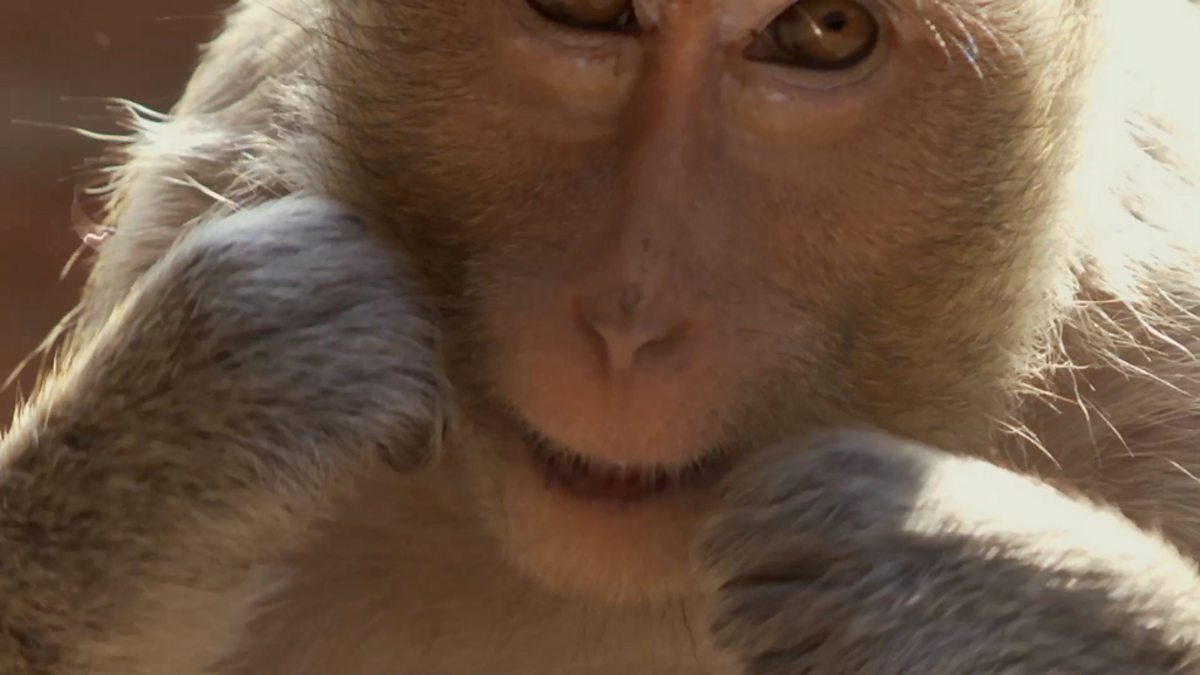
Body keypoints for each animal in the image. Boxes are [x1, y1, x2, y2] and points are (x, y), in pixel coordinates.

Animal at [2, 0, 1200, 672]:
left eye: (825, 31)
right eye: (585, 3)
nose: (631, 317)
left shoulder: (1164, 354)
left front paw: (1002, 597)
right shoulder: (213, 171)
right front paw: (189, 425)